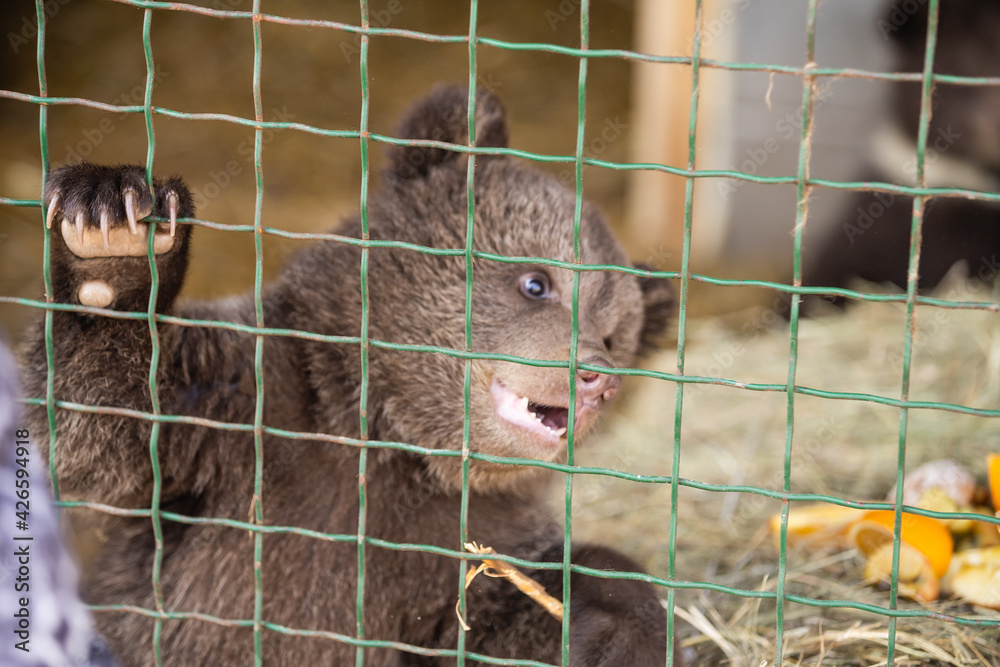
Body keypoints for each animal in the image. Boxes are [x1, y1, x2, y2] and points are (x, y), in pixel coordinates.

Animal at [18, 85, 677, 666]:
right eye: (537, 283)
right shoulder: (238, 421)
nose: (597, 377)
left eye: (615, 333)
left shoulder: (458, 549)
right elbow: (101, 423)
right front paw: (113, 235)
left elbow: (489, 620)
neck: (393, 442)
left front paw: (611, 623)